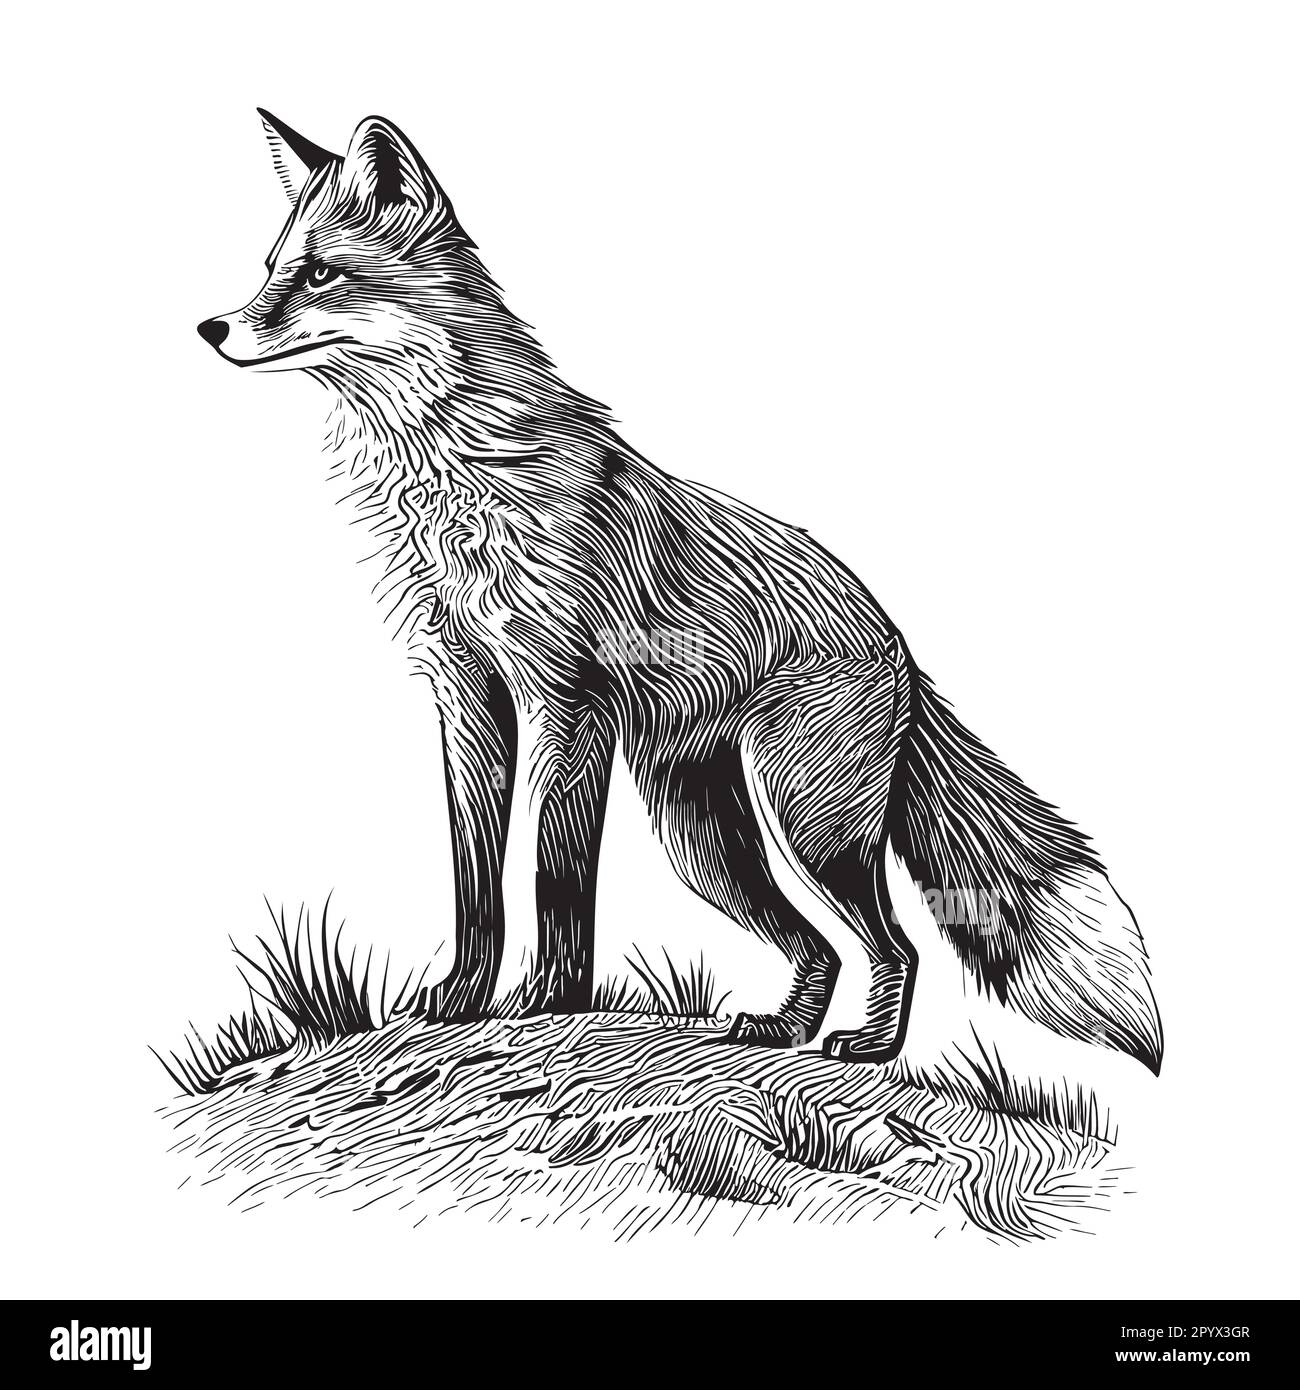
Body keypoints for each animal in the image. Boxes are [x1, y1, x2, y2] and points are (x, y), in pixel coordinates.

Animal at [198, 111, 1162, 1073]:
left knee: (895, 941)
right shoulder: (465, 695)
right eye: (268, 267)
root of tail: (900, 644)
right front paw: (463, 999)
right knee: (817, 944)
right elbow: (476, 882)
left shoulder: (566, 700)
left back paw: (867, 1048)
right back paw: (784, 1028)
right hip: (701, 836)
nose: (210, 328)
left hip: (809, 824)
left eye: (319, 274)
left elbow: (553, 875)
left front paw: (546, 1000)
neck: (450, 482)